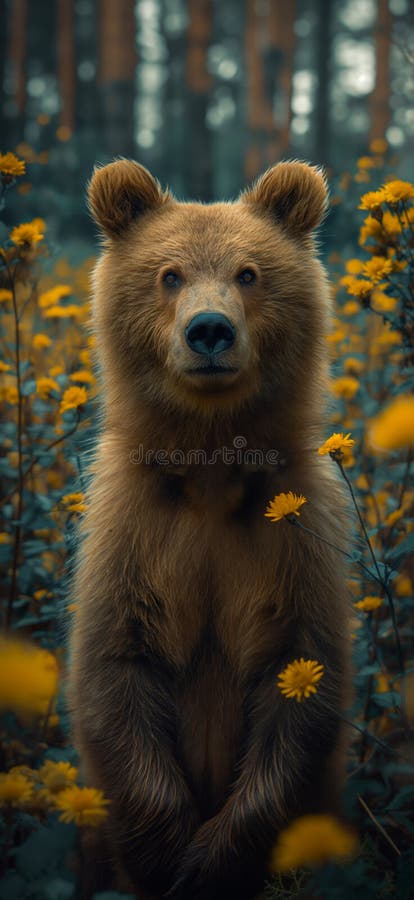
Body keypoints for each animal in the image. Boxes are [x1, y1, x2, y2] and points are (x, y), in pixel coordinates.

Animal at [68, 158, 350, 900]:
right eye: (169, 274)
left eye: (249, 273)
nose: (210, 331)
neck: (210, 472)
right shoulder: (134, 538)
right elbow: (116, 675)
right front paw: (169, 857)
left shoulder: (293, 543)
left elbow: (300, 692)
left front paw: (216, 861)